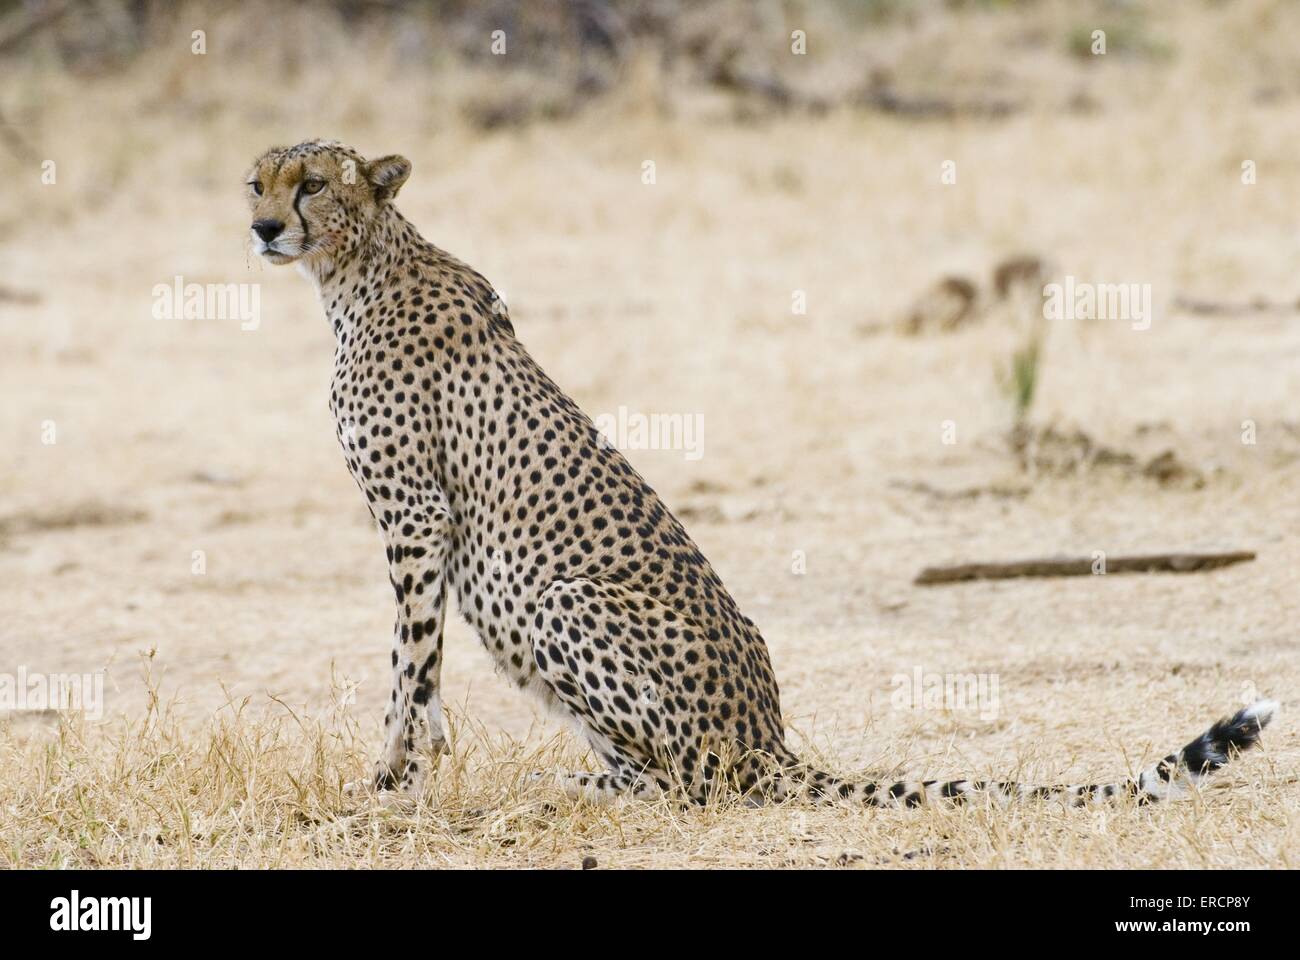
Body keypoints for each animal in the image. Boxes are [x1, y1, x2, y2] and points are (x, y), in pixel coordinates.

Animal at [244, 139, 1276, 809]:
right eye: (258, 182)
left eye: (312, 185)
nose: (259, 227)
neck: (357, 269)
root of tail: (768, 738)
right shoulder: (424, 529)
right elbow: (422, 679)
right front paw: (412, 774)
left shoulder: (417, 520)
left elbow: (407, 669)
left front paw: (389, 785)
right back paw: (572, 778)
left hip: (555, 596)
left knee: (693, 787)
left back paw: (576, 788)